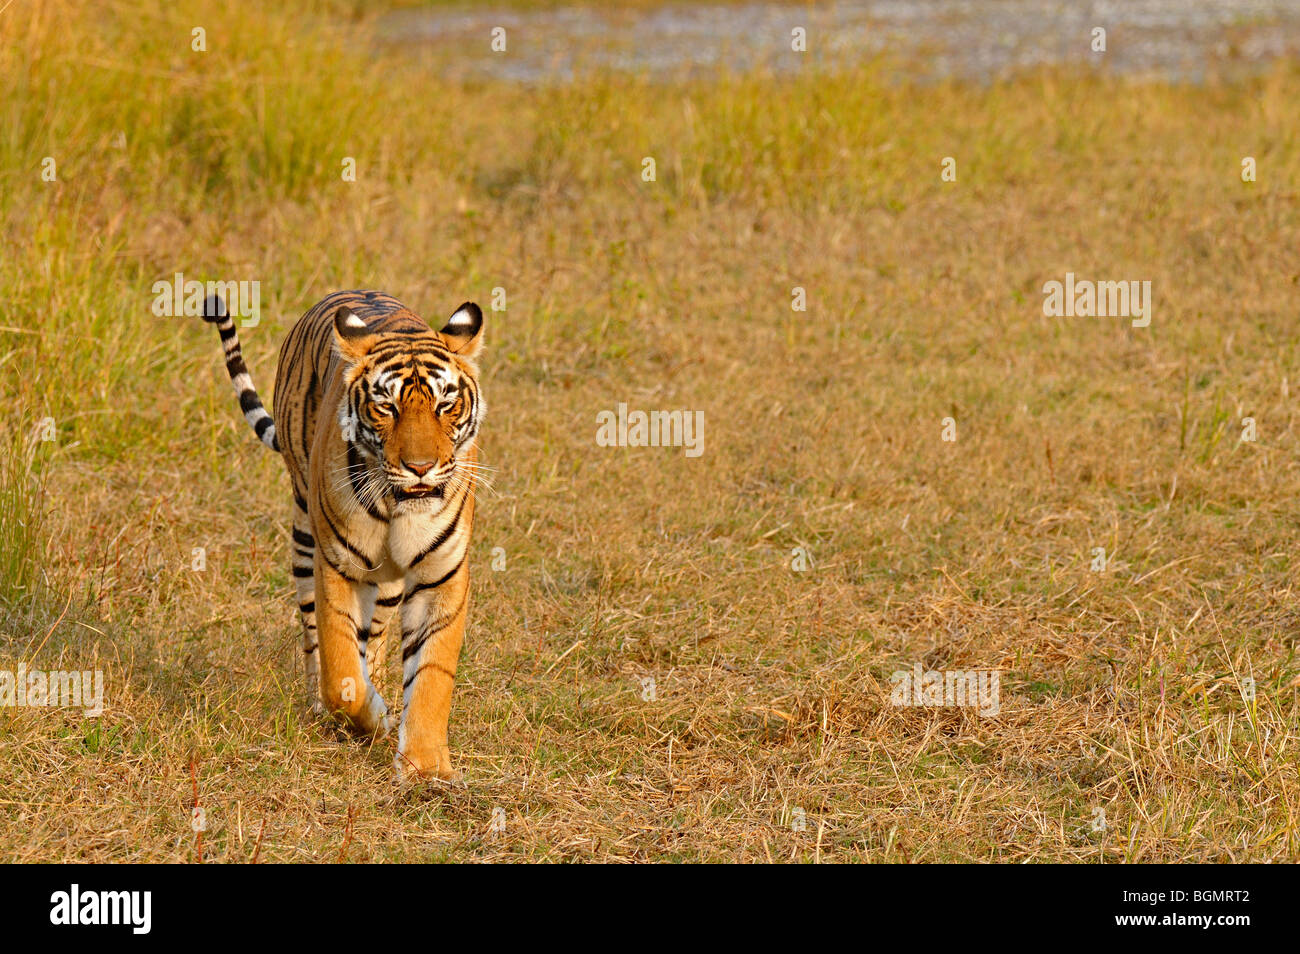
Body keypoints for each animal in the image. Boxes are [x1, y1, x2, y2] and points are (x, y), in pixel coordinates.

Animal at [200, 289, 485, 782]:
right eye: (387, 407)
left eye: (445, 404)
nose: (421, 467)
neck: (398, 509)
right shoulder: (339, 565)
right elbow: (341, 671)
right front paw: (369, 717)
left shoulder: (441, 576)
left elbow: (432, 674)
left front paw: (426, 770)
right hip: (304, 536)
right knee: (316, 635)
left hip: (387, 583)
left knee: (379, 636)